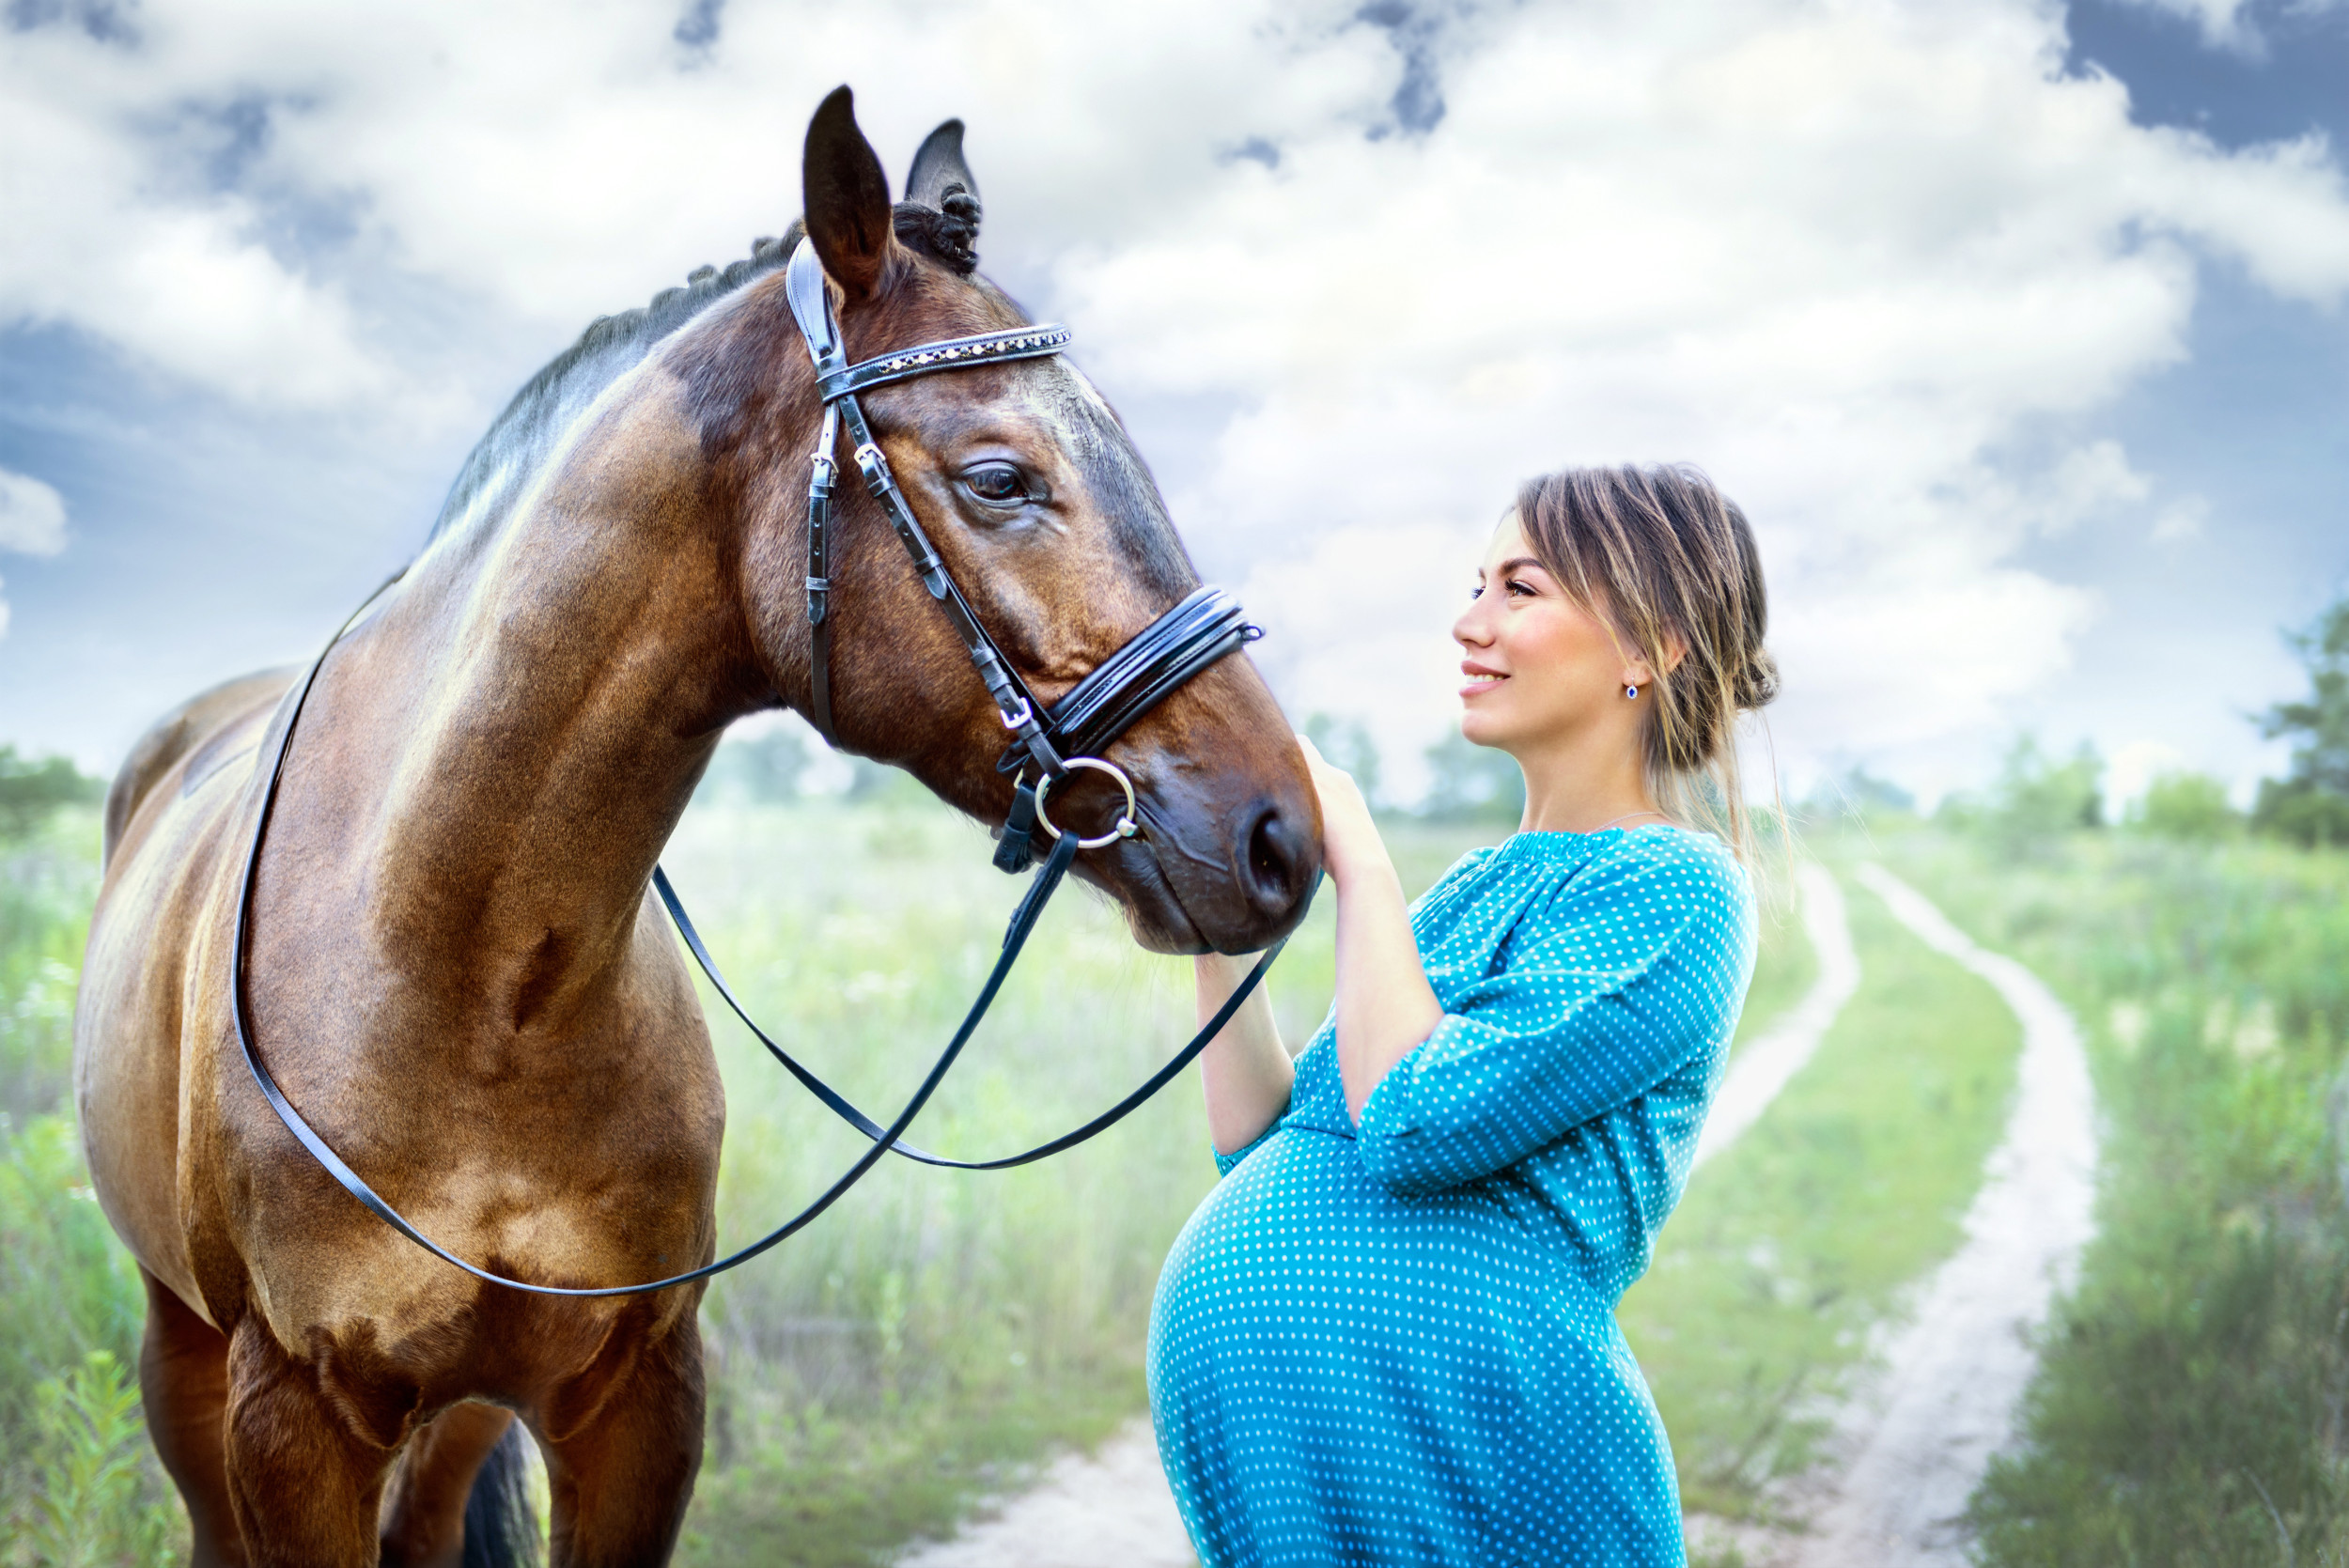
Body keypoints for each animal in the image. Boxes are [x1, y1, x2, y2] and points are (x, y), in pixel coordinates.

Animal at [73, 86, 1320, 1567]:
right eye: (1000, 478)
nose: (1280, 837)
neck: (472, 977)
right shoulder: (291, 1419)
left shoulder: (637, 1397)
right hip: (182, 1353)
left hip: (460, 1415)